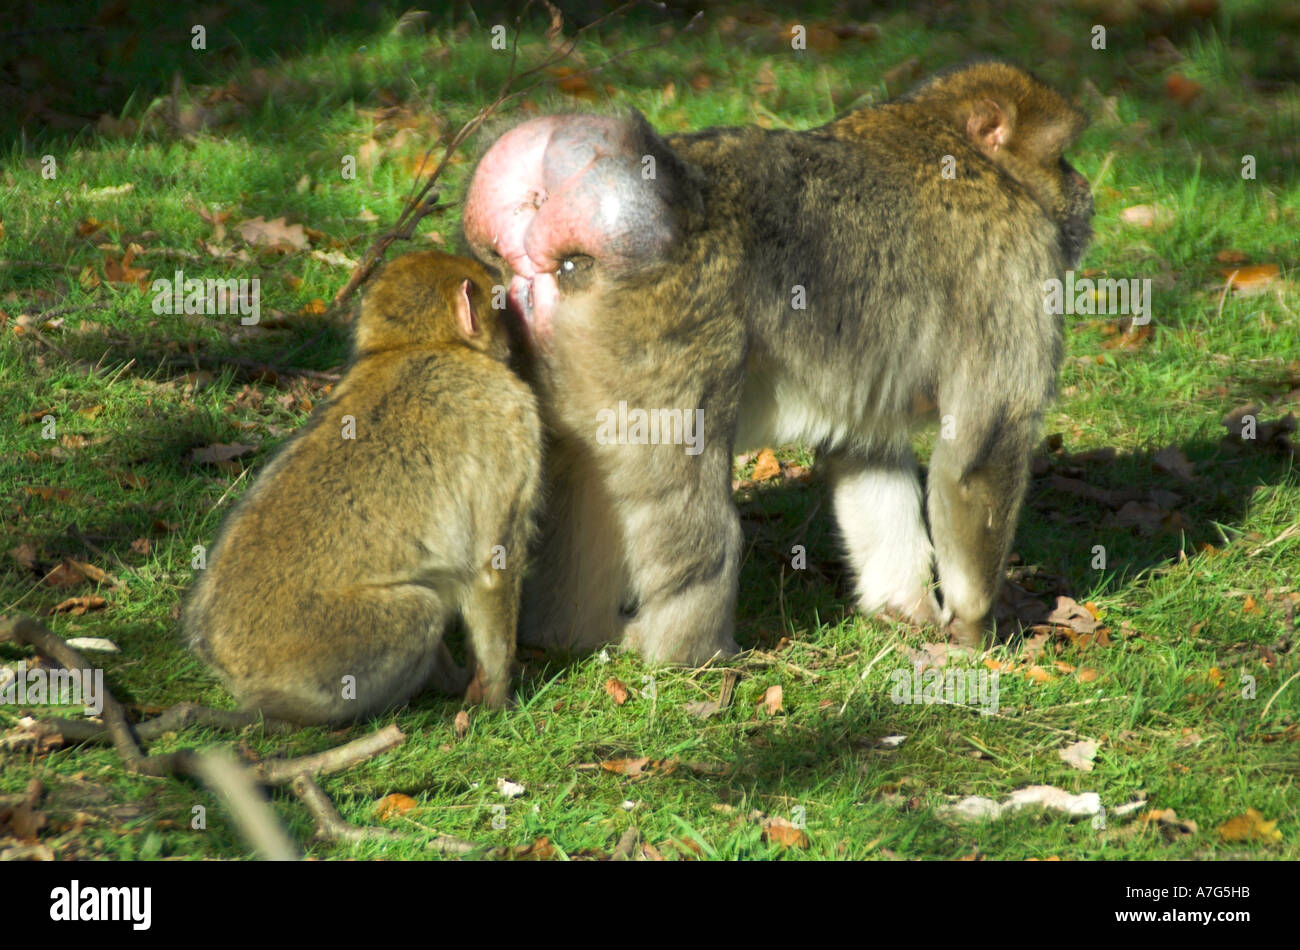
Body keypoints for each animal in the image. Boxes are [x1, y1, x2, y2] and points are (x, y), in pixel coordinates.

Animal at [183, 251, 541, 725]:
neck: (416, 346)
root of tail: (221, 656)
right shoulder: (511, 414)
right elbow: (492, 563)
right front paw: (498, 700)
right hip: (322, 651)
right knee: (422, 610)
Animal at [462, 60, 1093, 661]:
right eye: (1061, 156)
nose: (1084, 187)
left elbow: (865, 449)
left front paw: (905, 610)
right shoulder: (1014, 266)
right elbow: (984, 446)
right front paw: (977, 632)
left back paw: (565, 634)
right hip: (665, 333)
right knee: (685, 489)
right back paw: (692, 656)